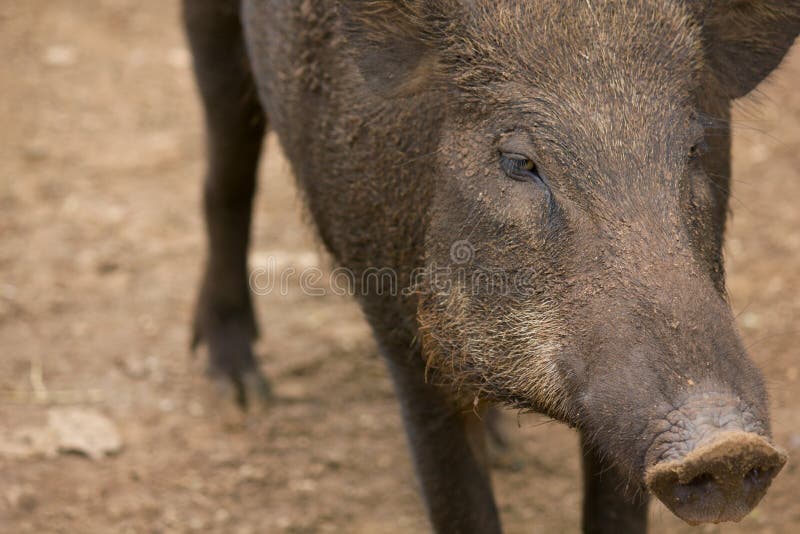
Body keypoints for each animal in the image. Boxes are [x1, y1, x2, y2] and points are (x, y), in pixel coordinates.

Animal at [182, 0, 800, 532]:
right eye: (518, 162)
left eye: (693, 149)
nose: (727, 447)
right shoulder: (399, 331)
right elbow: (458, 501)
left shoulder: (613, 411)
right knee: (226, 174)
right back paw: (241, 389)